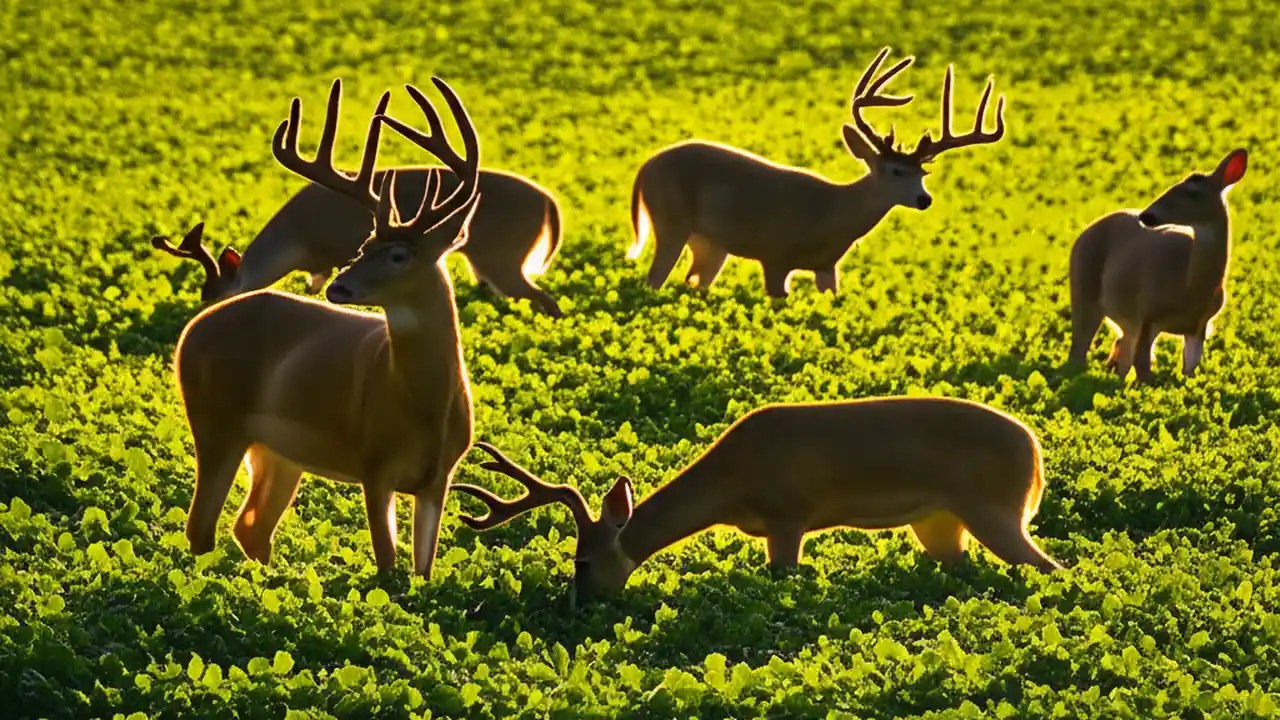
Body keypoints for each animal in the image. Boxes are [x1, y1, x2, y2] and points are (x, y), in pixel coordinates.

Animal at [161, 75, 484, 576]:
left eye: (398, 253)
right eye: (365, 243)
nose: (338, 286)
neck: (423, 406)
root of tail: (192, 328)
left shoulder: (439, 479)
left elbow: (422, 572)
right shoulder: (374, 464)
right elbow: (388, 569)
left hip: (277, 450)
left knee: (249, 526)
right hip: (214, 418)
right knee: (202, 527)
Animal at [452, 397, 1063, 604]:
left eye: (581, 560)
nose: (576, 605)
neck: (733, 481)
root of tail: (1035, 454)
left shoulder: (789, 517)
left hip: (996, 512)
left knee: (1049, 566)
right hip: (940, 524)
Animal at [627, 46, 1006, 299]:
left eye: (923, 173)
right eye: (896, 171)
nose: (924, 199)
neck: (833, 213)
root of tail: (645, 167)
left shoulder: (828, 266)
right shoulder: (775, 254)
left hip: (710, 244)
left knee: (693, 281)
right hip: (671, 221)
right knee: (654, 278)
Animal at [1067, 148, 1248, 383]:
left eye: (1193, 192)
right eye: (1172, 186)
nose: (1146, 216)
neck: (1189, 290)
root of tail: (1084, 232)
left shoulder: (1199, 325)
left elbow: (1190, 369)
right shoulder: (1147, 312)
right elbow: (1143, 366)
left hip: (1126, 319)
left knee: (1120, 349)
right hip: (1083, 288)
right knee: (1079, 350)